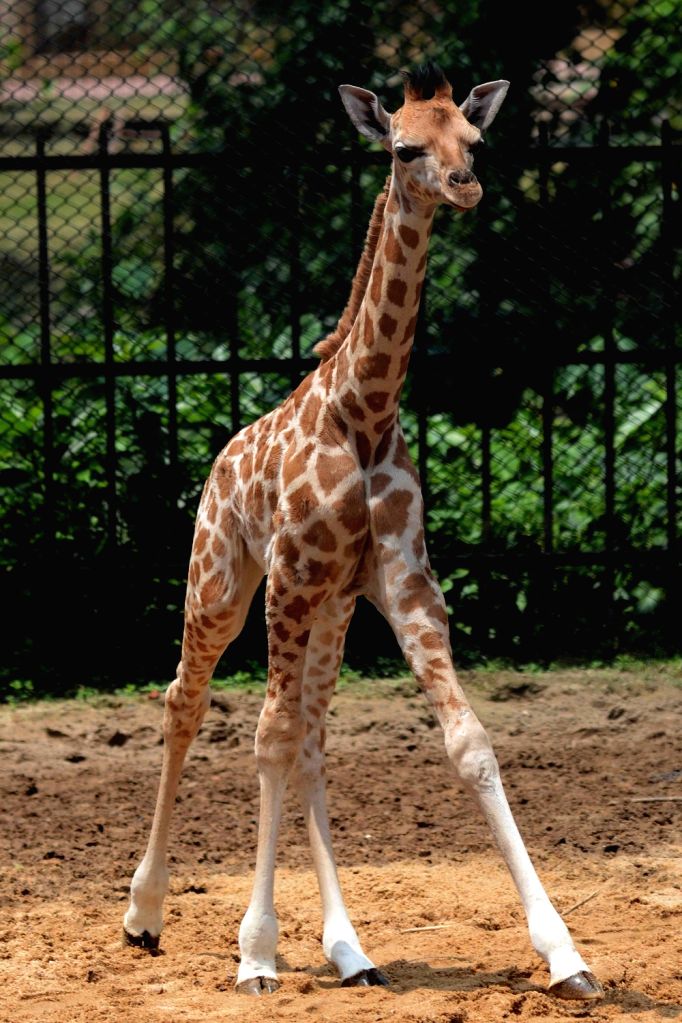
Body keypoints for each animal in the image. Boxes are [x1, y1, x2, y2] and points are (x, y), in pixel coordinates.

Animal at [123, 63, 604, 1003]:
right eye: (403, 147)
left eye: (475, 139)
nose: (464, 184)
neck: (366, 408)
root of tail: (220, 458)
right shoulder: (291, 577)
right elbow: (265, 738)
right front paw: (256, 952)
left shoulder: (403, 585)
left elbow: (467, 740)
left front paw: (566, 954)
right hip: (221, 585)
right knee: (186, 702)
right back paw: (145, 912)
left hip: (333, 614)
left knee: (311, 740)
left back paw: (350, 948)